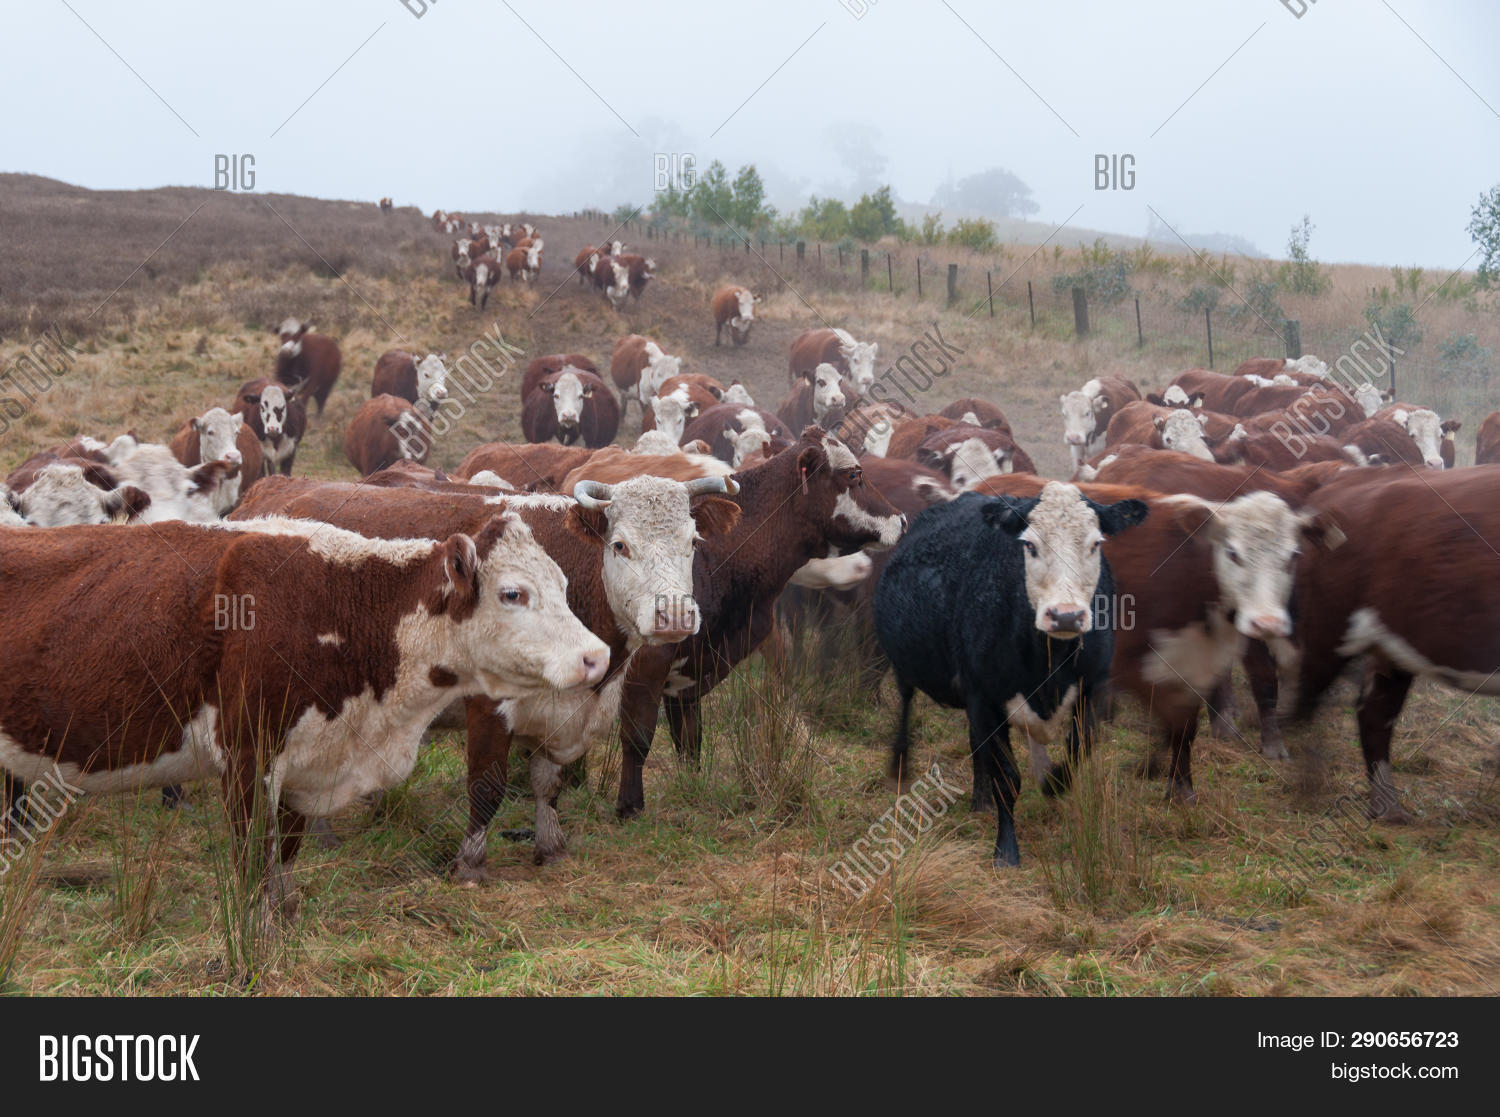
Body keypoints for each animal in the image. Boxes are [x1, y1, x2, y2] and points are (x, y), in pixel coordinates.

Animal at [0, 513, 607, 915]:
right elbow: (253, 870)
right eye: (512, 593)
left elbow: (283, 861)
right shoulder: (248, 757)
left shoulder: (302, 766)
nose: (596, 655)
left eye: (564, 586)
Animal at [234, 470, 741, 875]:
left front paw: (550, 847)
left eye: (692, 542)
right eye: (620, 546)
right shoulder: (489, 706)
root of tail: (271, 488)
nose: (674, 616)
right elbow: (487, 785)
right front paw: (470, 864)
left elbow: (548, 782)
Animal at [615, 430, 907, 820]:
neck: (717, 554)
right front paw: (629, 806)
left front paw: (692, 787)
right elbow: (638, 734)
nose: (902, 520)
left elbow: (689, 738)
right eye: (853, 474)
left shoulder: (690, 672)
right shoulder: (648, 662)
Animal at [874, 482, 1149, 865]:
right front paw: (1006, 851)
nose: (1065, 616)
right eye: (1029, 545)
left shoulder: (1090, 690)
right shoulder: (985, 696)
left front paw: (1053, 782)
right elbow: (1006, 777)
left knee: (976, 744)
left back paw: (981, 801)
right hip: (907, 668)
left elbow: (1078, 751)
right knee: (906, 705)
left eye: (1095, 544)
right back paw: (898, 765)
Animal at [1285, 466, 1500, 821]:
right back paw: (1305, 784)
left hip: (1389, 645)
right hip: (1328, 630)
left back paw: (1387, 807)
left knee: (1373, 711)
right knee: (1304, 703)